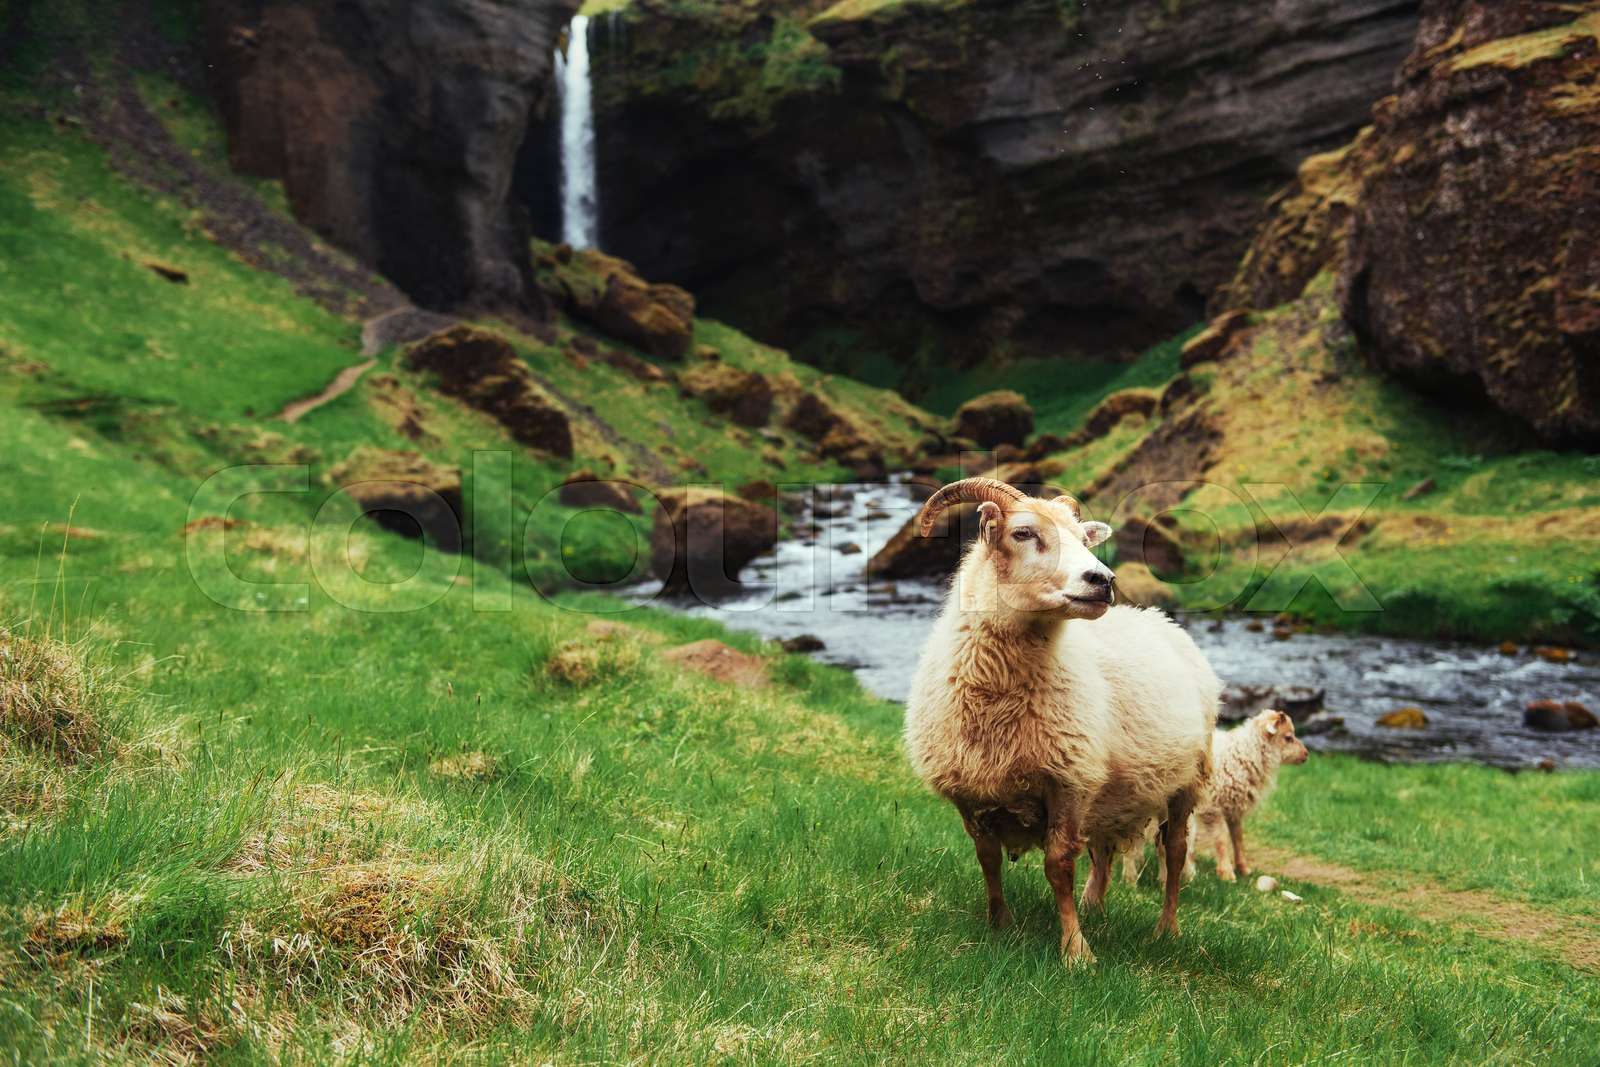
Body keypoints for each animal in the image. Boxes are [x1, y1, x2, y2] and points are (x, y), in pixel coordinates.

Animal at [902, 478, 1220, 964]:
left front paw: (1075, 951)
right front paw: (999, 924)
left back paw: (1166, 929)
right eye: (1023, 533)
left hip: (1187, 779)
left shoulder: (1069, 781)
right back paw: (1095, 905)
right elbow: (987, 859)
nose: (1104, 580)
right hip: (1111, 791)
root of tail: (1158, 618)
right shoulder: (970, 791)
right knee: (1104, 850)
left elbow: (1058, 866)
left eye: (1084, 540)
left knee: (1175, 852)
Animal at [1119, 709, 1309, 885]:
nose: (1306, 755)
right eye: (1288, 737)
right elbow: (1221, 840)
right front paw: (1227, 874)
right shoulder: (1213, 807)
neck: (1245, 754)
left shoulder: (1233, 808)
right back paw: (1130, 878)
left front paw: (1244, 869)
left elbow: (1238, 838)